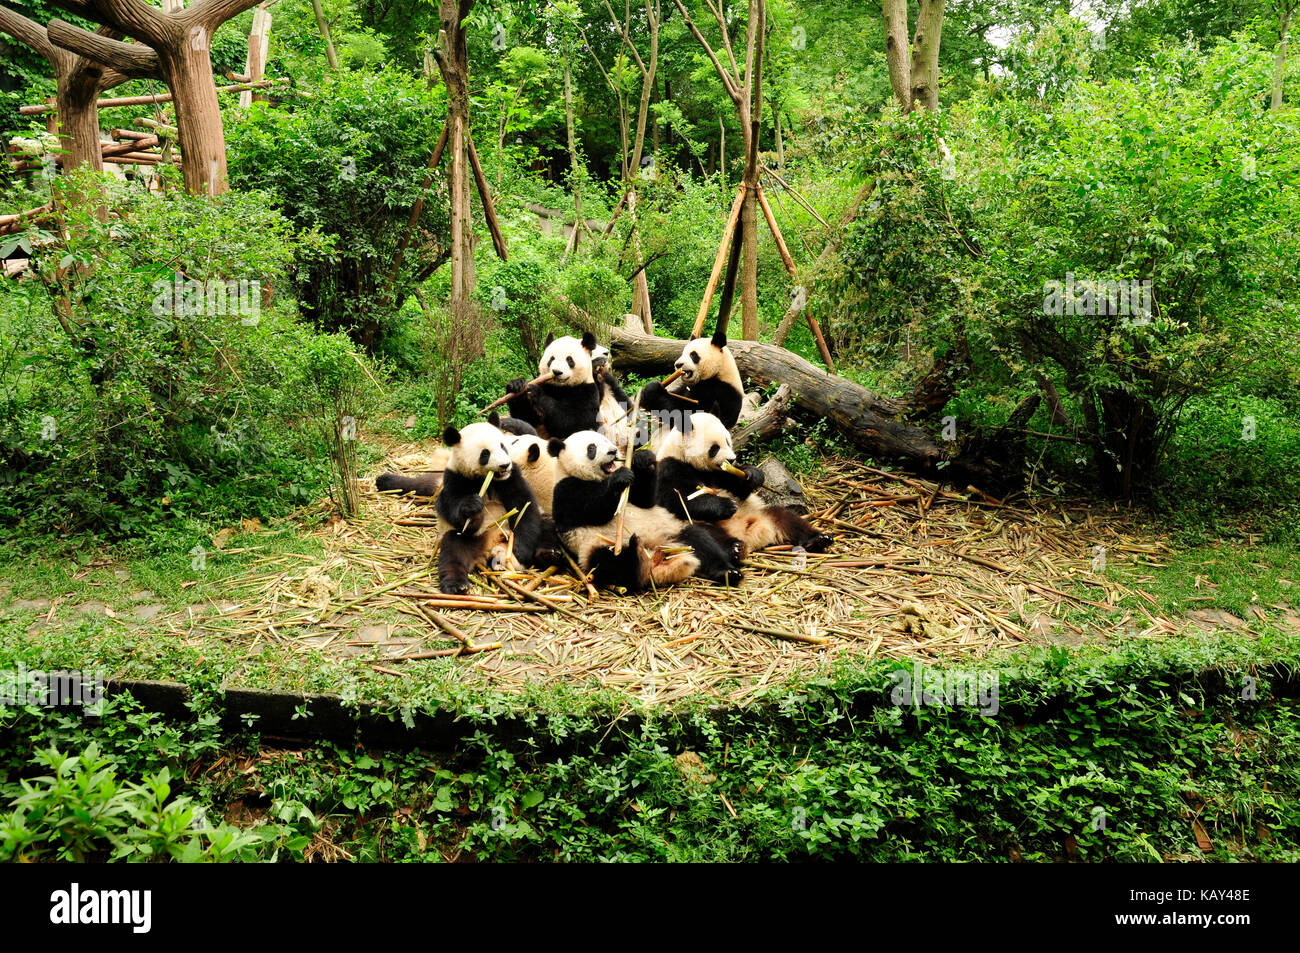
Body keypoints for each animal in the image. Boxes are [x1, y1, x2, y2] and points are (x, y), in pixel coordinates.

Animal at [434, 422, 544, 594]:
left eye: (503, 446)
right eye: (485, 454)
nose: (505, 465)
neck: (487, 478)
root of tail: (491, 546)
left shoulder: (512, 477)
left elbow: (524, 506)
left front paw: (520, 551)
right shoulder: (455, 477)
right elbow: (450, 508)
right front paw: (473, 507)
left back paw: (549, 554)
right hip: (467, 540)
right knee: (452, 551)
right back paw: (456, 585)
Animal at [548, 431, 703, 591]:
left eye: (606, 440)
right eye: (591, 448)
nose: (613, 451)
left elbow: (644, 500)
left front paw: (642, 459)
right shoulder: (565, 491)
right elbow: (592, 510)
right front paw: (620, 478)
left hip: (673, 532)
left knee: (699, 539)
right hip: (597, 545)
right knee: (614, 564)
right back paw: (638, 555)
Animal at [655, 412, 832, 557]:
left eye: (728, 441)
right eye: (714, 448)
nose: (732, 459)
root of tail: (752, 536)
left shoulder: (721, 473)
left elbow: (738, 488)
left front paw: (753, 475)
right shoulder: (670, 467)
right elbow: (681, 500)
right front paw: (727, 506)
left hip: (764, 512)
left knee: (788, 518)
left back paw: (819, 538)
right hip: (699, 525)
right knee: (708, 537)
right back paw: (734, 548)